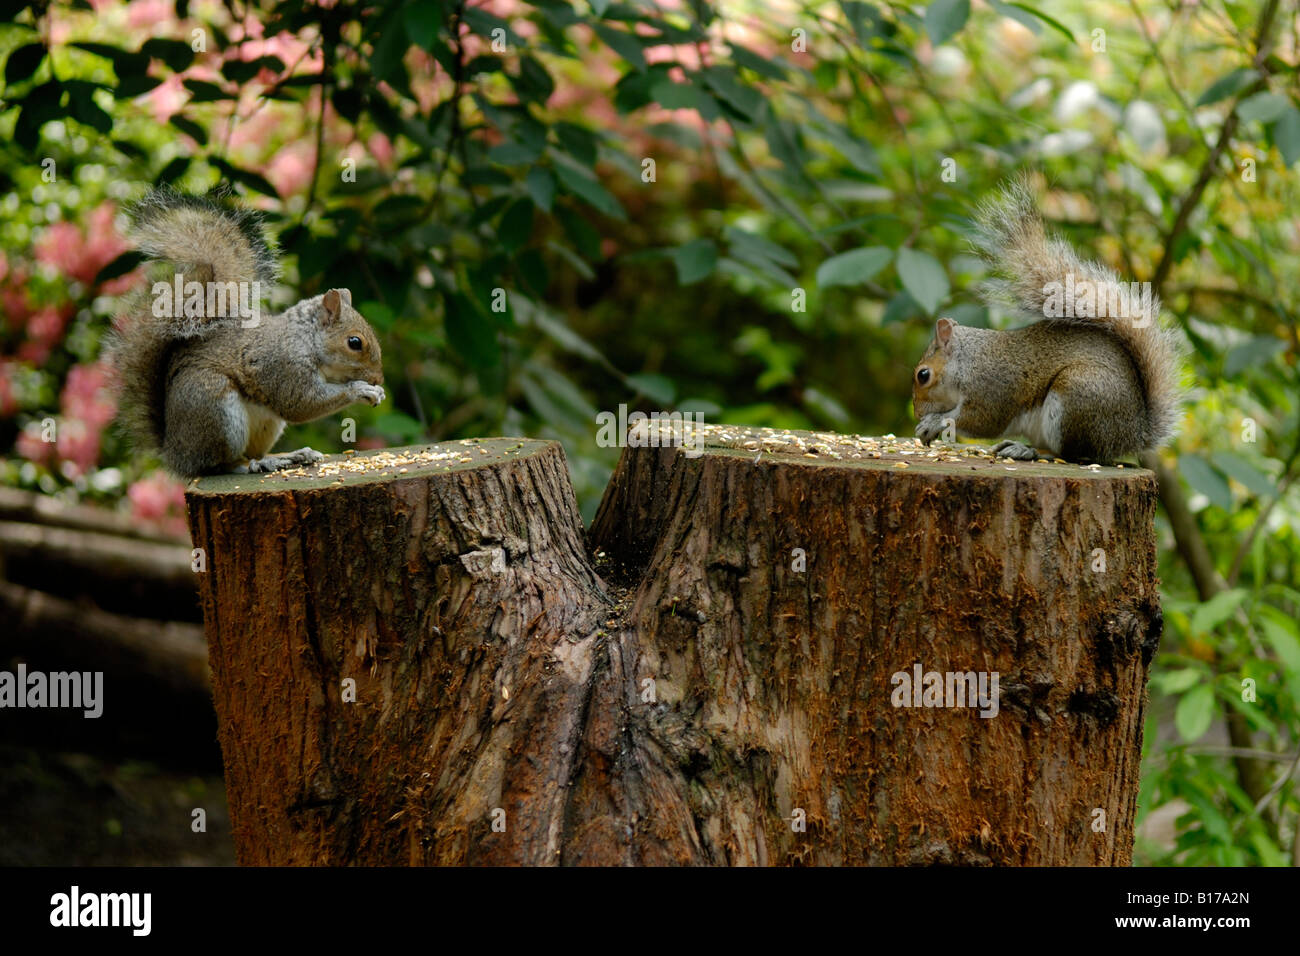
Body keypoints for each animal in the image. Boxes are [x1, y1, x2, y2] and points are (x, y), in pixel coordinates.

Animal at [108, 187, 386, 478]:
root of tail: (176, 453)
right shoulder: (282, 364)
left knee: (252, 451)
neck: (305, 339)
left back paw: (287, 456)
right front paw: (362, 390)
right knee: (221, 464)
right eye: (354, 342)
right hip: (215, 408)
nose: (378, 379)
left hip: (266, 424)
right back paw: (257, 464)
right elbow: (299, 403)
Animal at [912, 177, 1183, 464]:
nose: (917, 412)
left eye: (923, 375)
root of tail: (1133, 434)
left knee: (1071, 454)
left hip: (1076, 398)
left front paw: (932, 423)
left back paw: (1028, 450)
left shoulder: (992, 388)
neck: (967, 361)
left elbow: (981, 420)